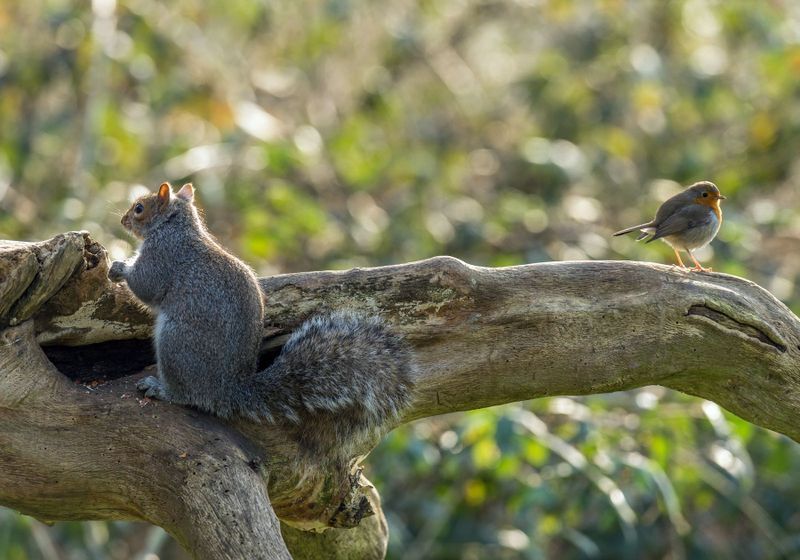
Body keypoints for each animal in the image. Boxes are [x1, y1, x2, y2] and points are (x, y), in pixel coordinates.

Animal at [108, 182, 416, 466]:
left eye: (139, 208)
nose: (122, 220)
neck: (176, 225)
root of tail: (228, 391)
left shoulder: (163, 255)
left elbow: (146, 285)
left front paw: (120, 268)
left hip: (176, 344)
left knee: (187, 395)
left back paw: (160, 389)